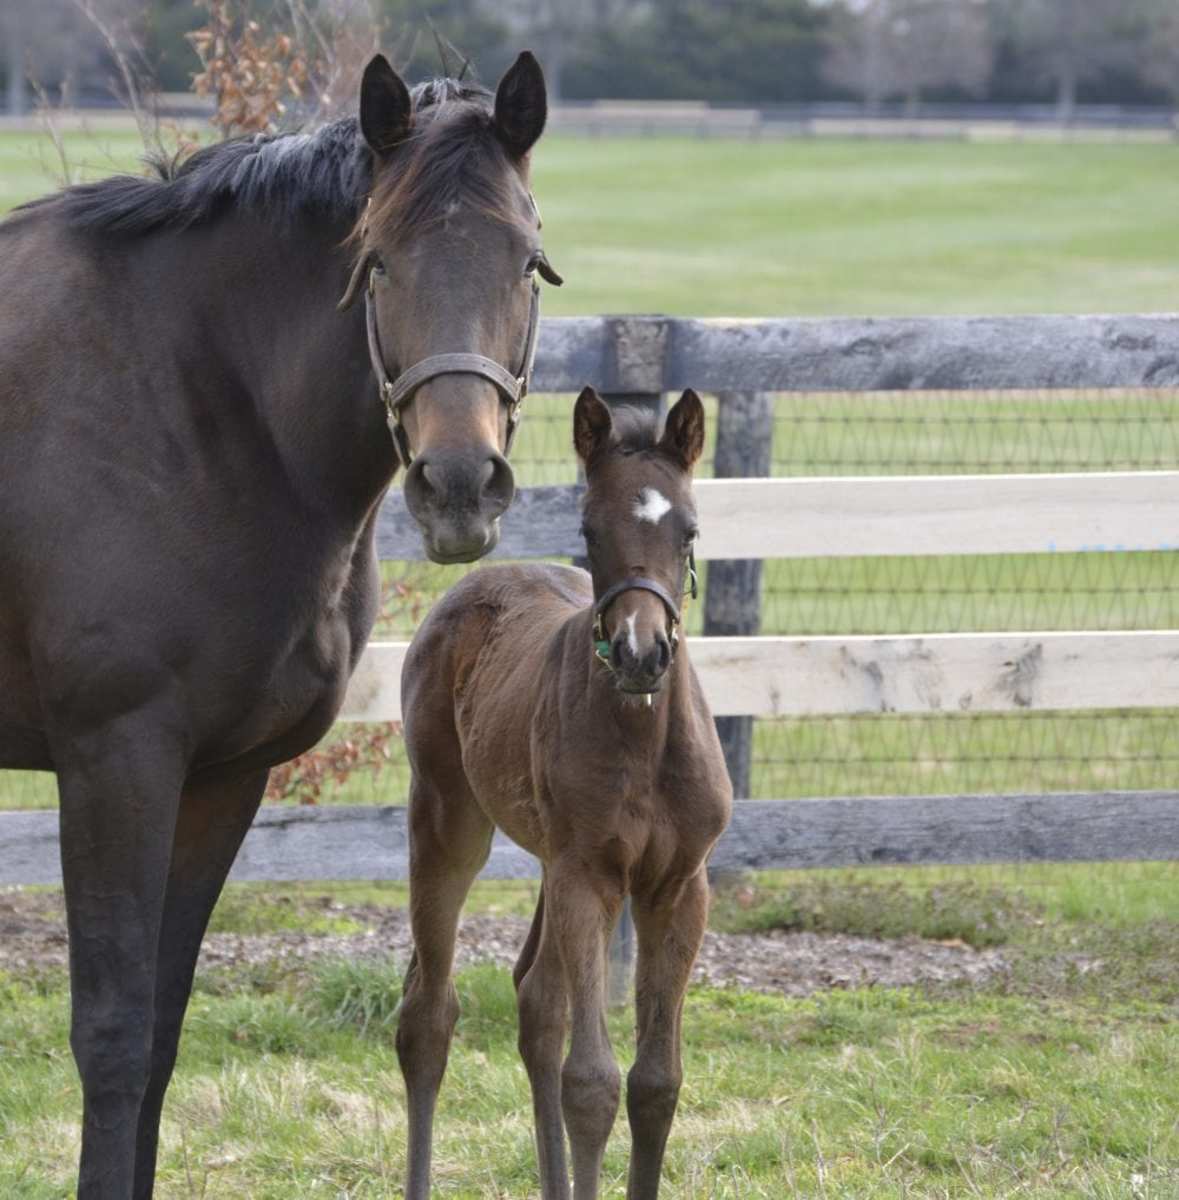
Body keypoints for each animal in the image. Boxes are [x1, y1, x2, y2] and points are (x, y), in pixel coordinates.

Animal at [0, 49, 560, 1198]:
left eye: (528, 264)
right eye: (376, 263)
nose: (458, 484)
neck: (189, 399)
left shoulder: (222, 778)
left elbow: (161, 1033)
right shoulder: (113, 760)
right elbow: (112, 1034)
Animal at [399, 386, 733, 1199]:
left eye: (689, 529)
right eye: (588, 528)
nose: (644, 654)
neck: (643, 738)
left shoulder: (679, 887)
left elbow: (655, 1082)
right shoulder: (591, 877)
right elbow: (592, 1082)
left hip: (549, 860)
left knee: (535, 1003)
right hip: (448, 824)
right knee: (428, 1013)